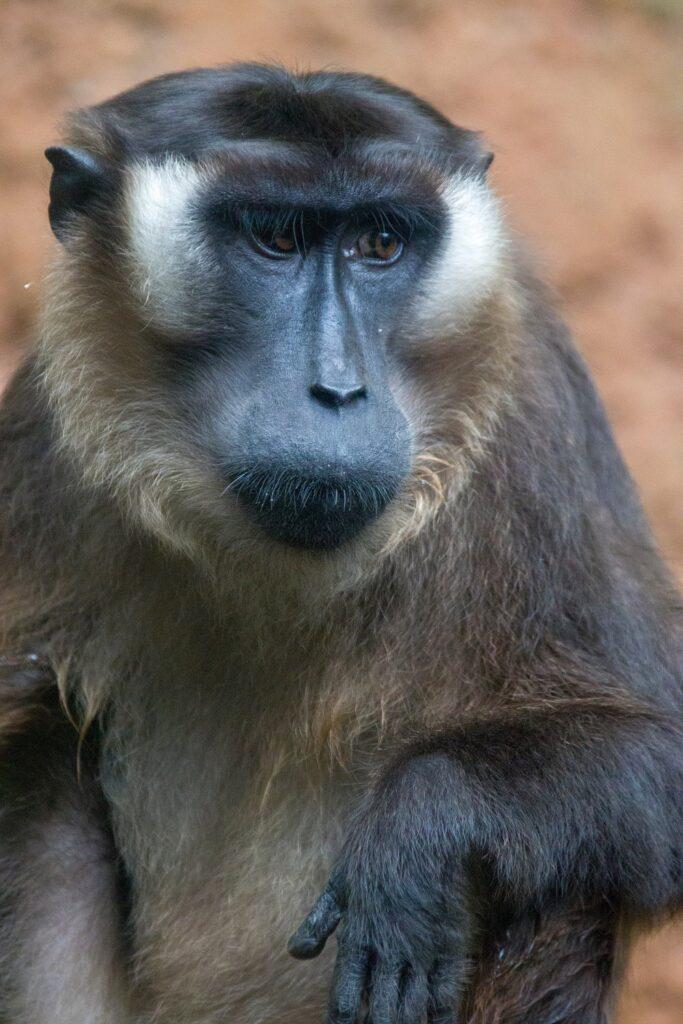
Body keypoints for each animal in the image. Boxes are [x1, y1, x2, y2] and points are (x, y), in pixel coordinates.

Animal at [0, 62, 680, 1024]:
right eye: (275, 239)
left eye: (380, 244)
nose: (337, 388)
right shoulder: (41, 436)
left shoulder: (537, 410)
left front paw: (422, 834)